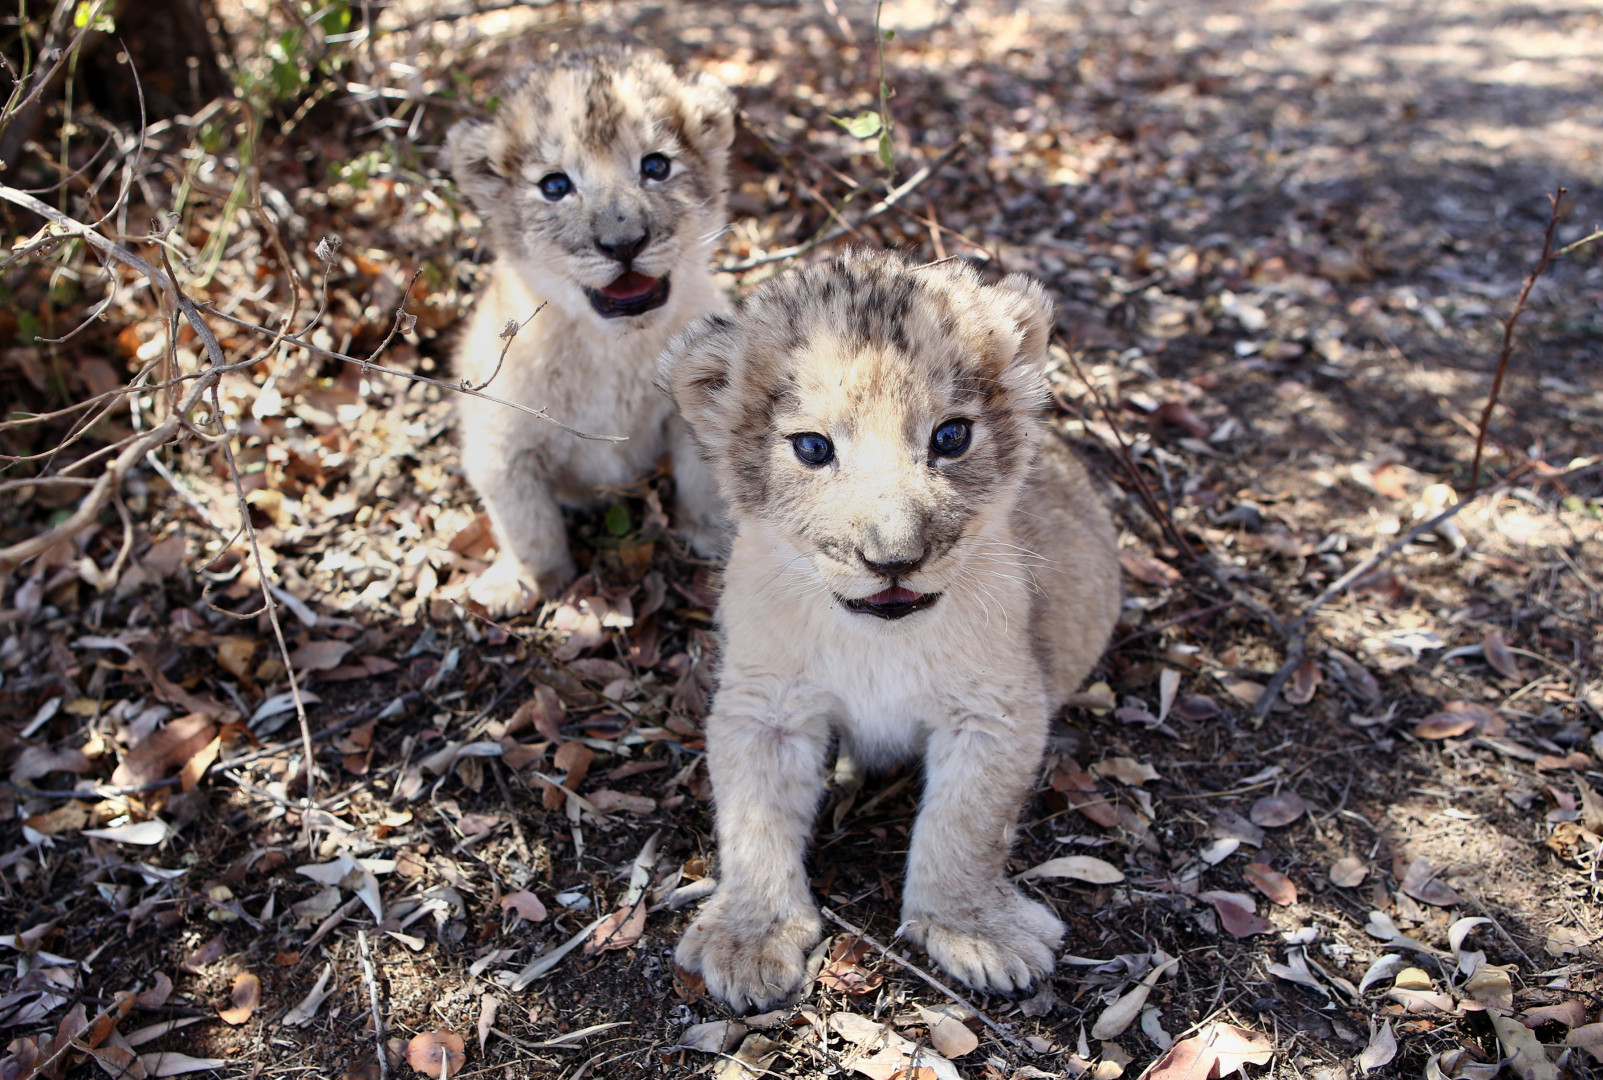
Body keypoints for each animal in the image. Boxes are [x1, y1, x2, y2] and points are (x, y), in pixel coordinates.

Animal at [445, 46, 735, 615]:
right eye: (555, 186)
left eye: (656, 166)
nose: (623, 243)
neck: (612, 349)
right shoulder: (500, 441)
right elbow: (525, 522)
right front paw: (524, 581)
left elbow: (702, 480)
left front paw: (711, 538)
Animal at [658, 249, 1122, 1011]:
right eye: (812, 447)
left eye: (951, 437)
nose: (894, 559)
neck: (876, 643)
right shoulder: (765, 707)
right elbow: (753, 820)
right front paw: (750, 936)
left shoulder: (996, 707)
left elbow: (964, 824)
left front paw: (971, 930)